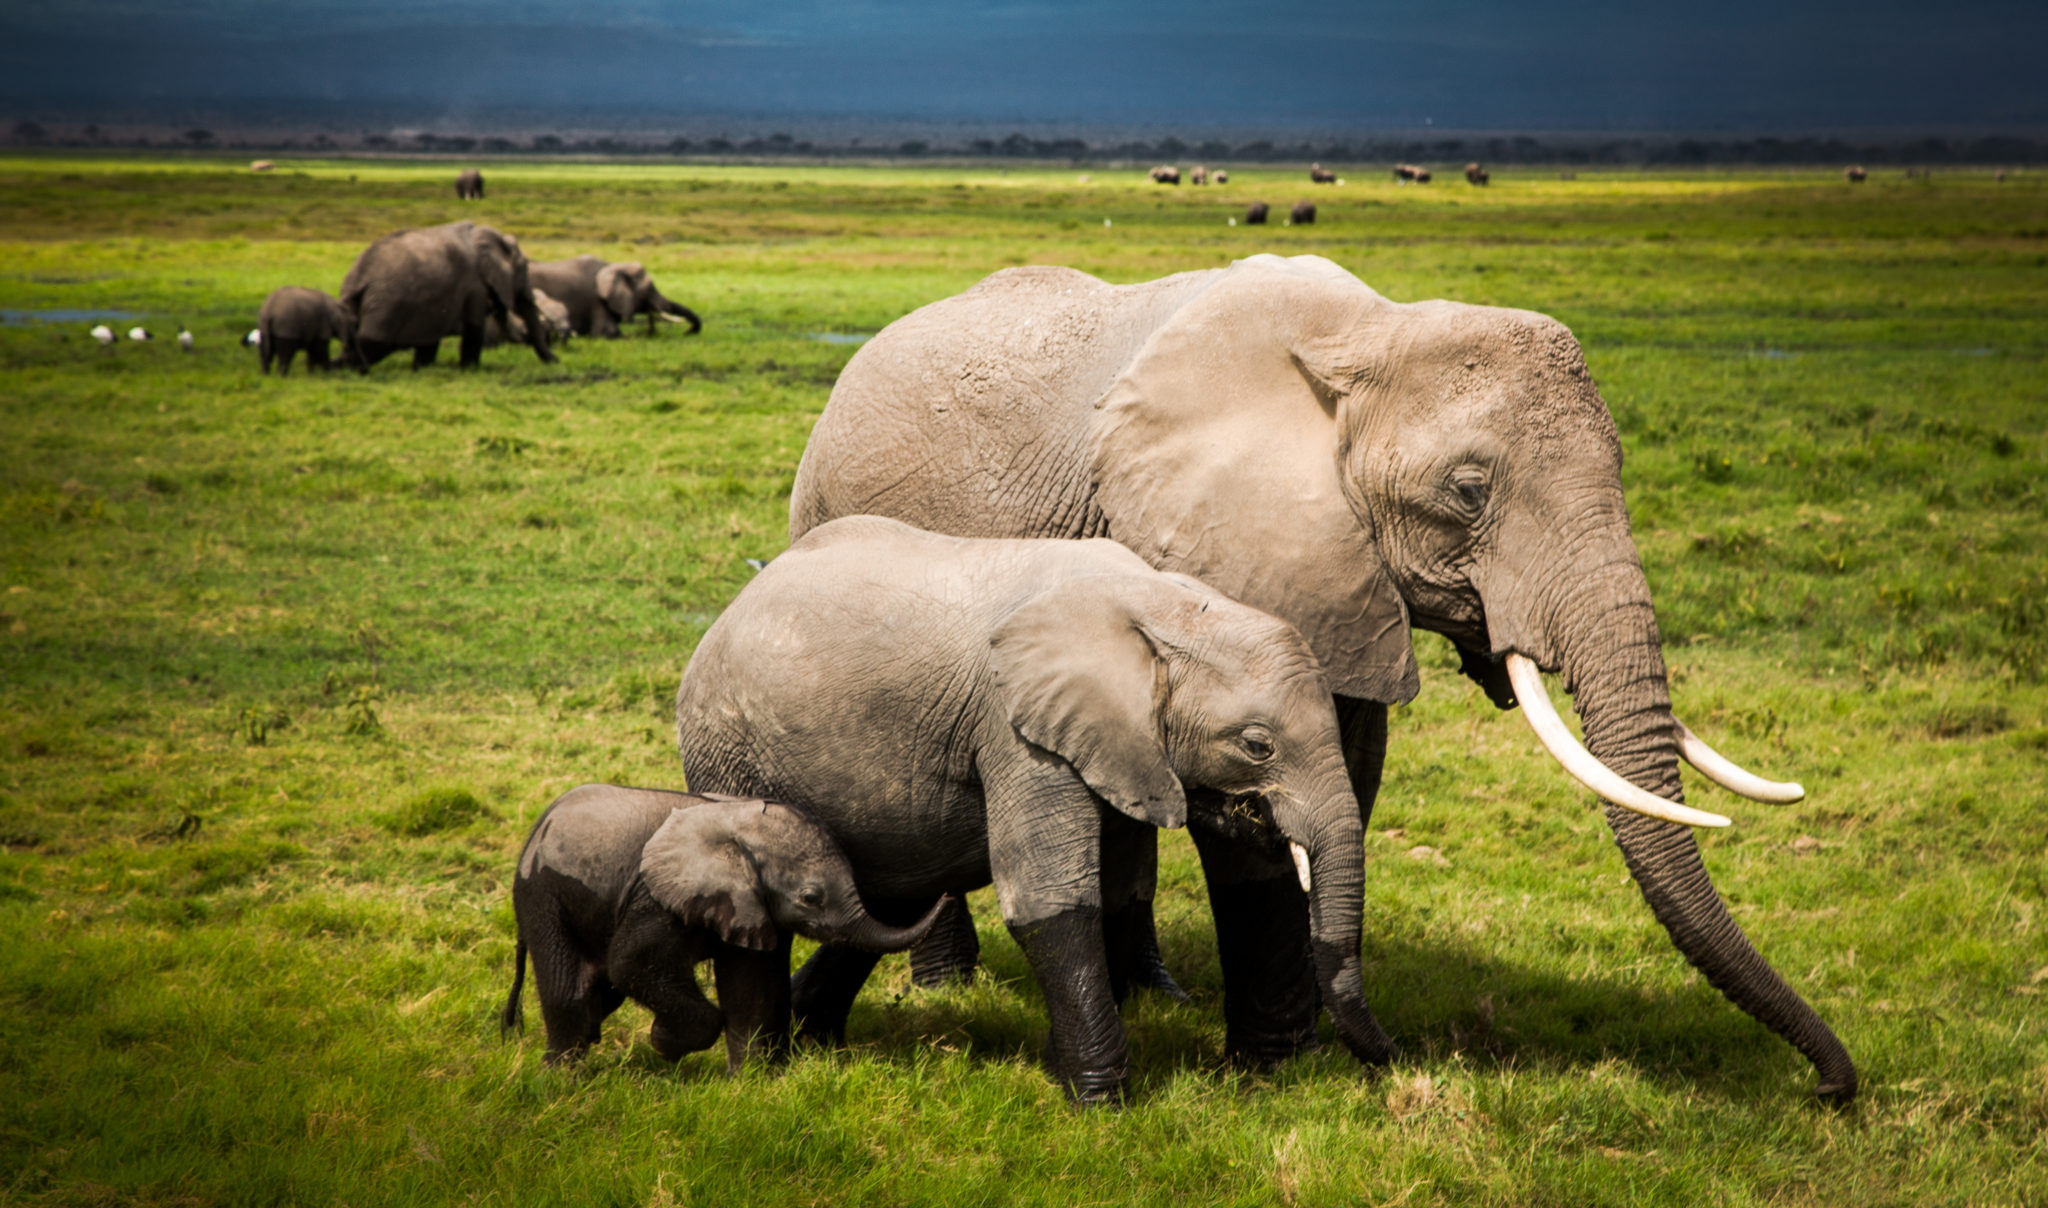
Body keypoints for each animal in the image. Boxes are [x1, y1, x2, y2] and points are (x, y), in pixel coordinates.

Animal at [339, 221, 557, 370]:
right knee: (372, 342)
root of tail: (359, 277)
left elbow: (429, 339)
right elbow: (474, 328)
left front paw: (422, 369)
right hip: (386, 305)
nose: (557, 360)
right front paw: (470, 370)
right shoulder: (474, 285)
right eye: (524, 268)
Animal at [501, 783, 946, 1069]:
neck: (739, 827)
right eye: (810, 898)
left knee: (599, 987)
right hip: (543, 894)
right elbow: (631, 962)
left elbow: (751, 986)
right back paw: (563, 1076)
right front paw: (663, 1044)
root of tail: (535, 830)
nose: (946, 895)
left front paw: (752, 1083)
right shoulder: (656, 896)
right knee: (568, 985)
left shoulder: (749, 902)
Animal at [674, 515, 1396, 1103]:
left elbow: (1116, 881)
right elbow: (1051, 898)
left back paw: (814, 1036)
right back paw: (769, 1068)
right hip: (723, 747)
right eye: (1255, 745)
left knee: (894, 898)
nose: (1395, 1059)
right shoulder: (1016, 728)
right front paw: (1101, 1104)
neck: (1164, 605)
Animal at [785, 253, 1857, 1100]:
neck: (1371, 335)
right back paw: (948, 984)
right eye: (1469, 492)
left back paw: (1154, 992)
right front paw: (1280, 1062)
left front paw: (1295, 1049)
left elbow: (1350, 768)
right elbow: (1245, 804)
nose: (1831, 1088)